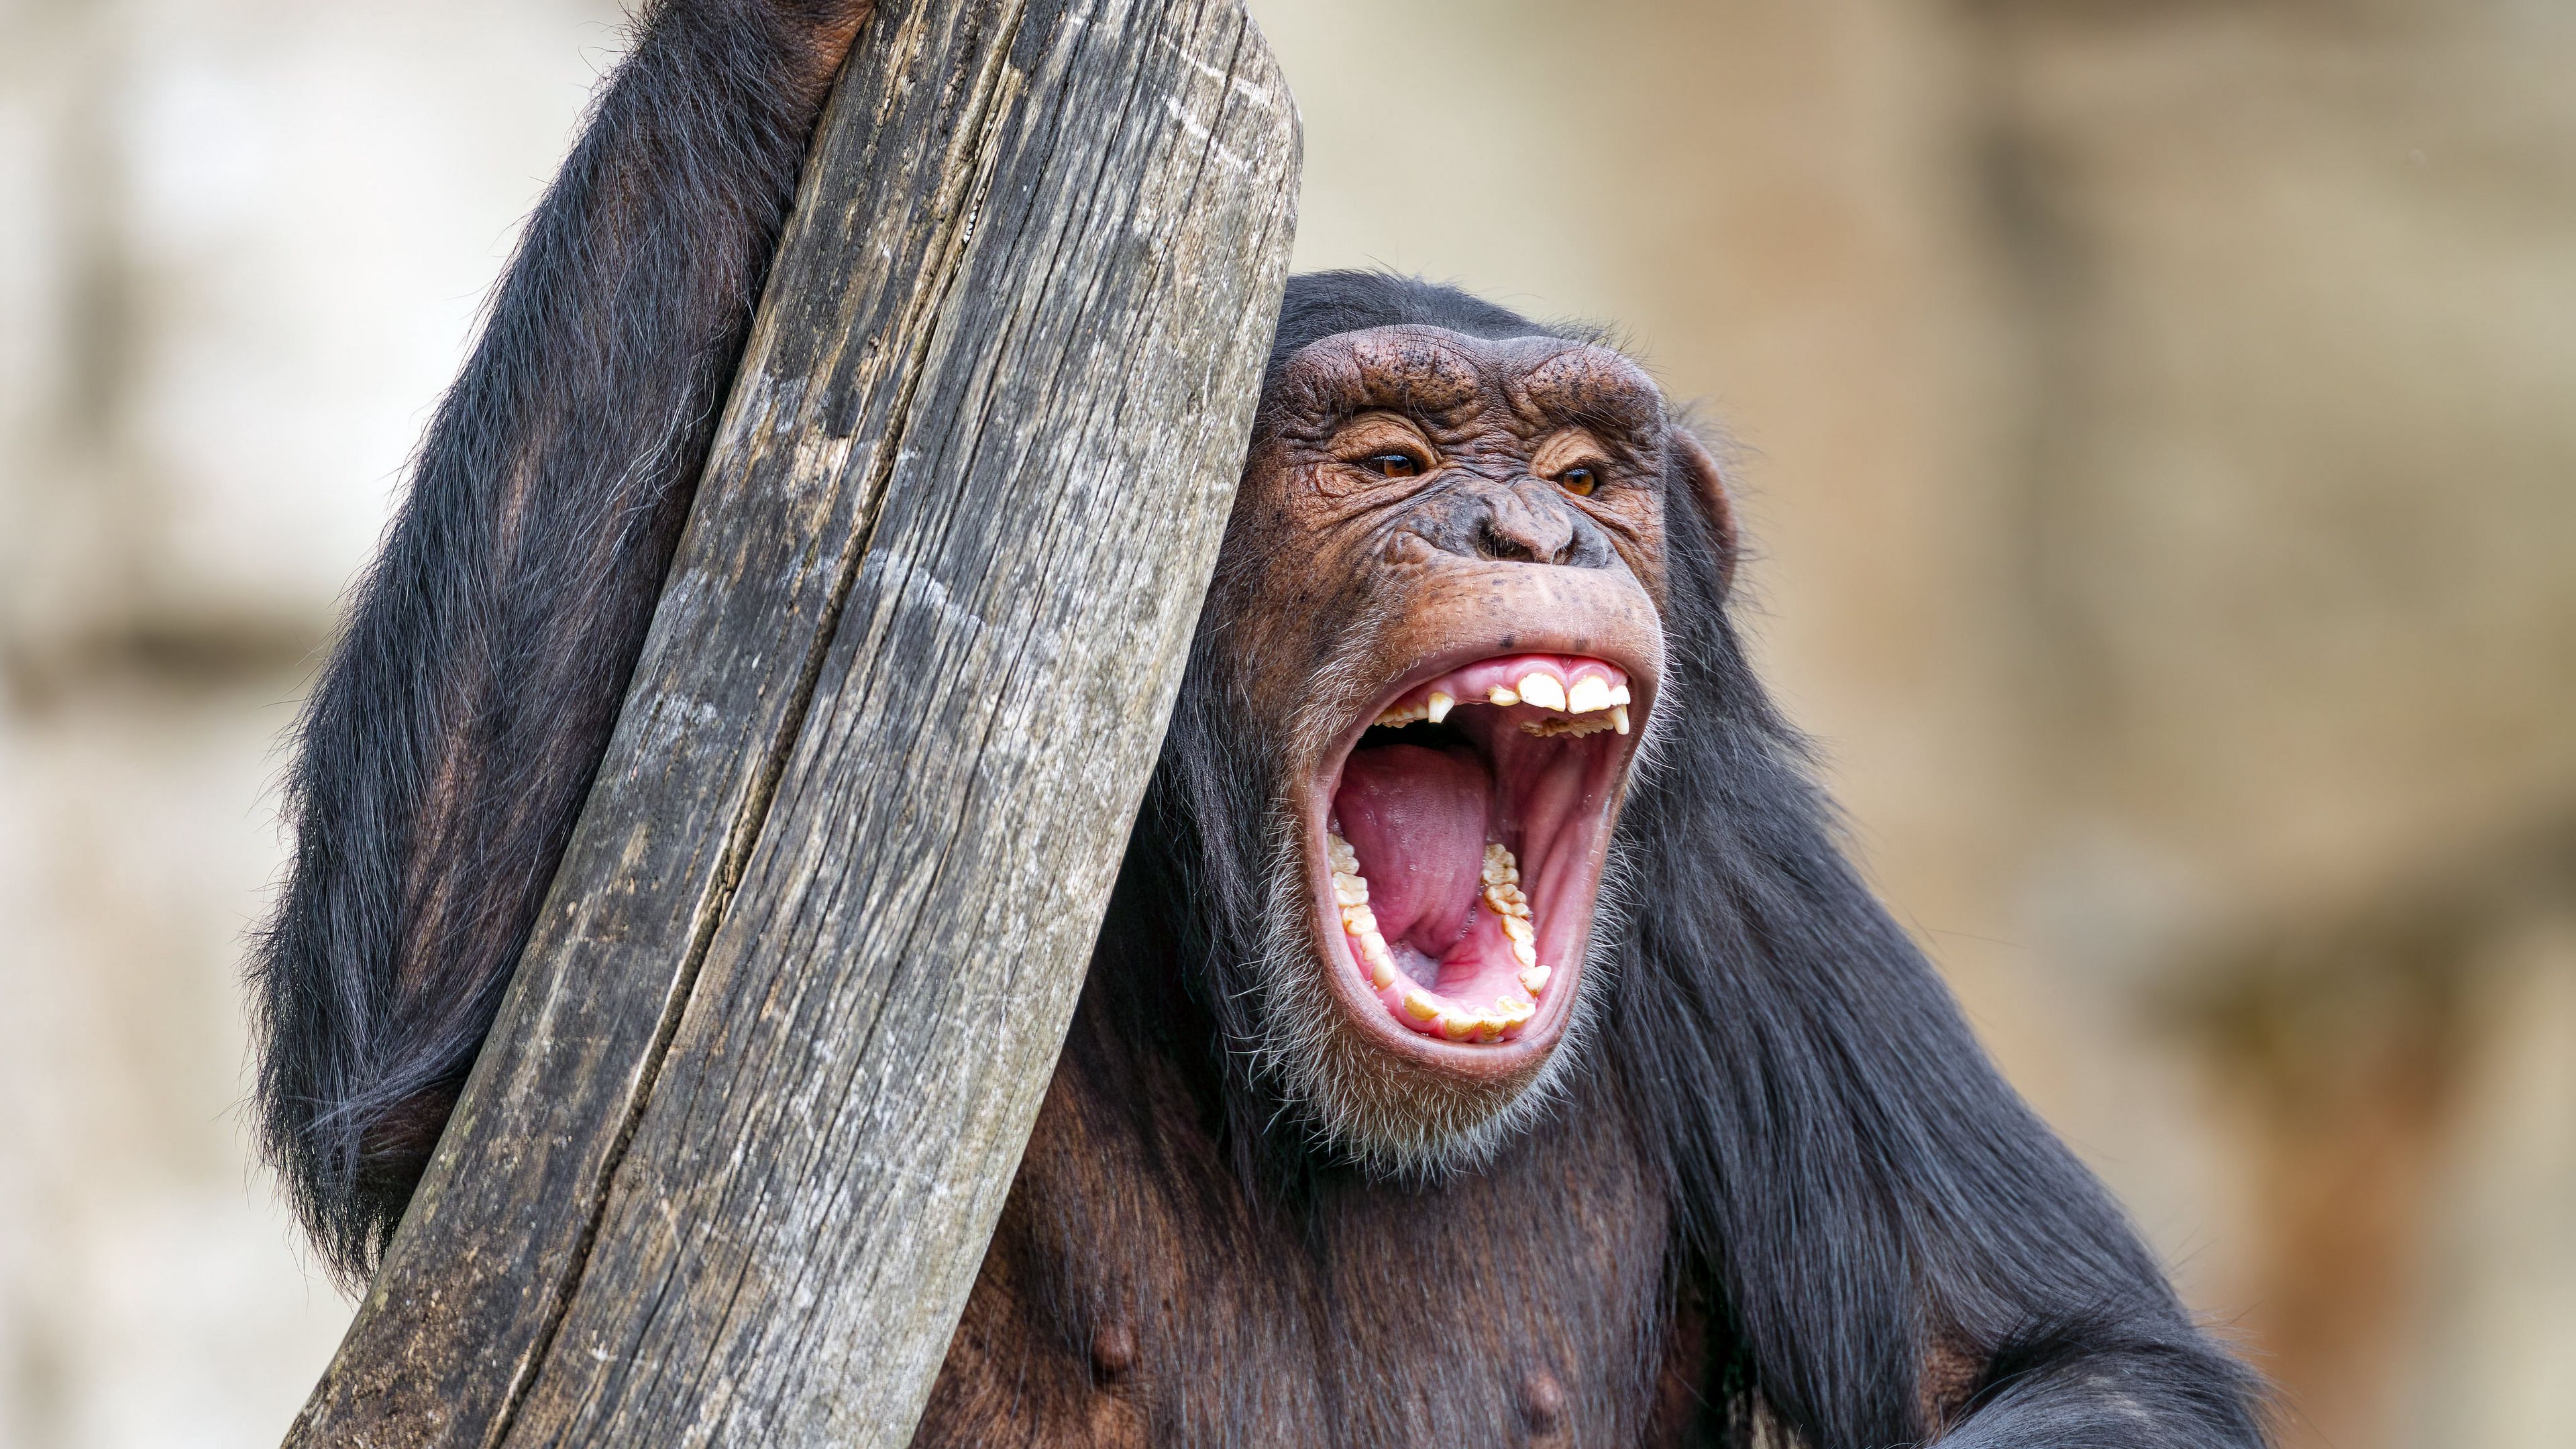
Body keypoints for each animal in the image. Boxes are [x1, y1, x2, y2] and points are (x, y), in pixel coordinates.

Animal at [249, 3, 2269, 1445]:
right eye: (1386, 460)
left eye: (1584, 472)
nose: (1527, 529)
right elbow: (464, 1060)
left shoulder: (1741, 893)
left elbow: (2047, 1356)